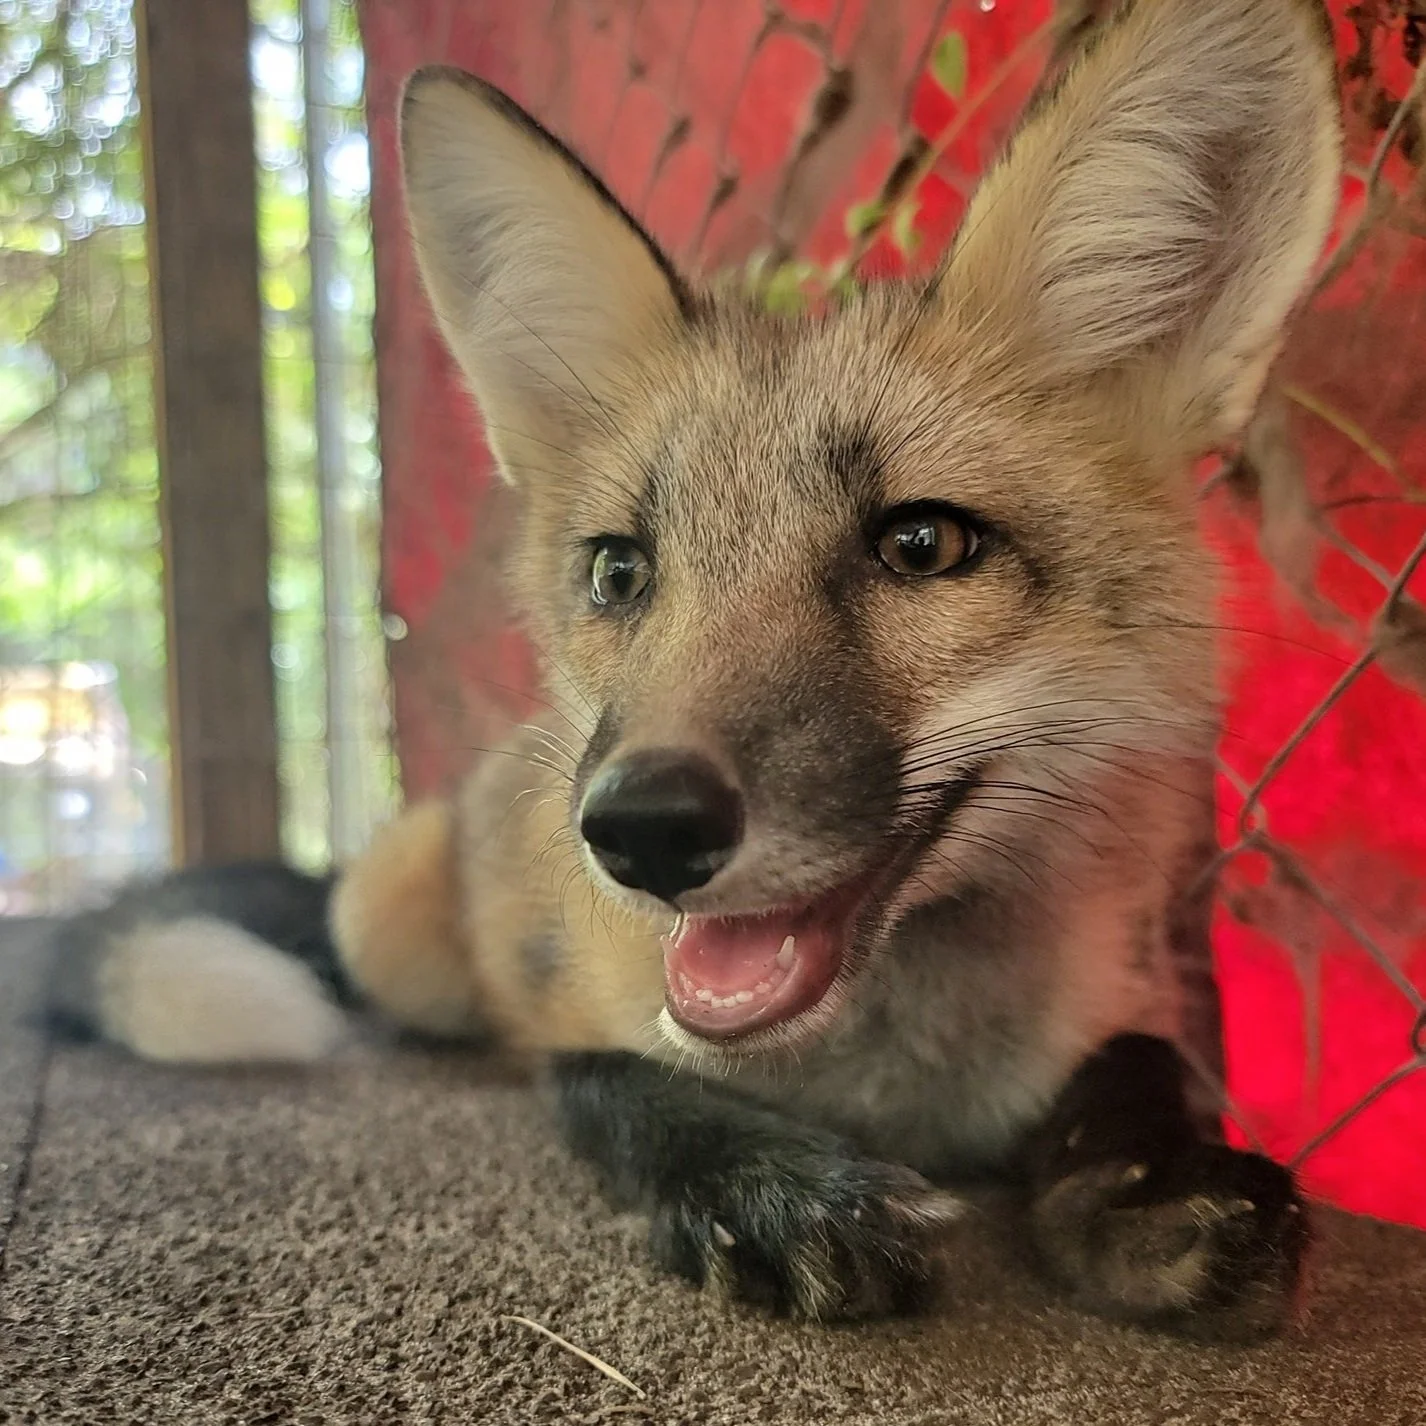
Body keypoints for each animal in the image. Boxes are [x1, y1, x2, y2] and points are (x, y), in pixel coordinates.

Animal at [47, 0, 1342, 1344]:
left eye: (921, 544)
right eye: (621, 571)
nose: (642, 830)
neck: (892, 1091)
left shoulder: (1128, 994)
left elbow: (1136, 1070)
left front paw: (1146, 1182)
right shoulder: (581, 1020)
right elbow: (621, 1089)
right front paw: (764, 1187)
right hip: (394, 926)